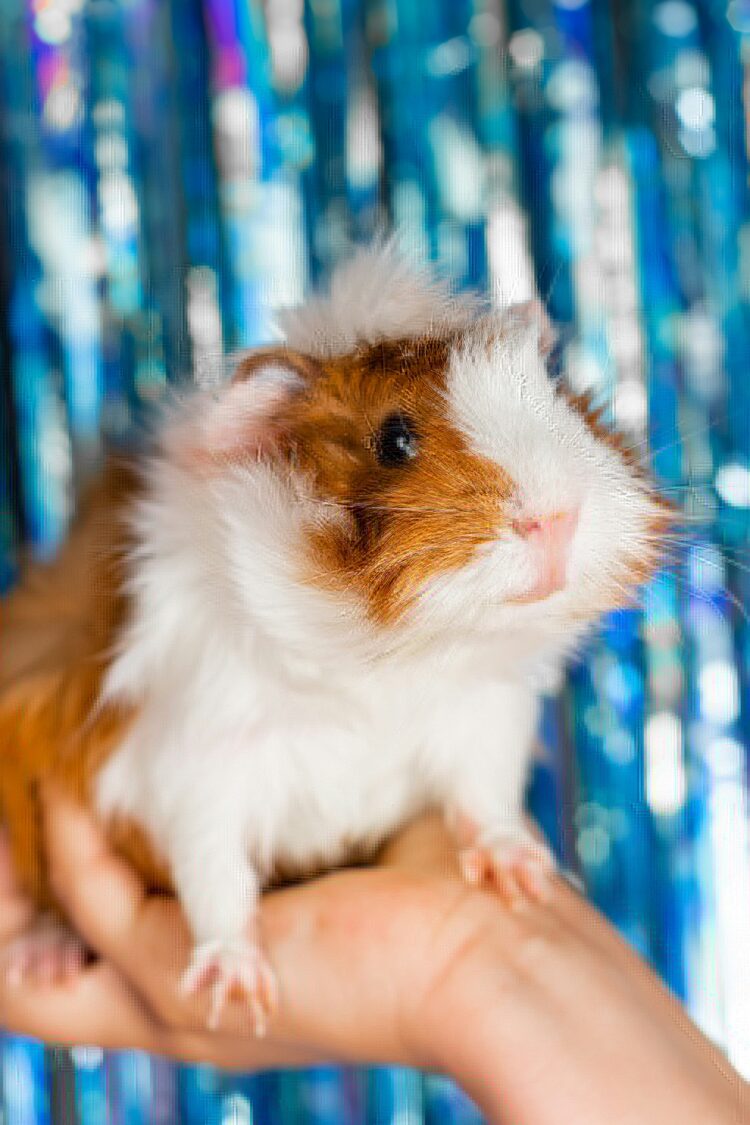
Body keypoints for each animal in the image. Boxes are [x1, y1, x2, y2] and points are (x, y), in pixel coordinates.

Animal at [0, 243, 671, 1033]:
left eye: (560, 397)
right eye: (395, 439)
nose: (556, 518)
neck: (380, 666)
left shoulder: (485, 717)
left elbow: (486, 800)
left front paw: (523, 875)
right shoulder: (193, 768)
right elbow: (214, 873)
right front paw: (237, 989)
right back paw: (45, 957)